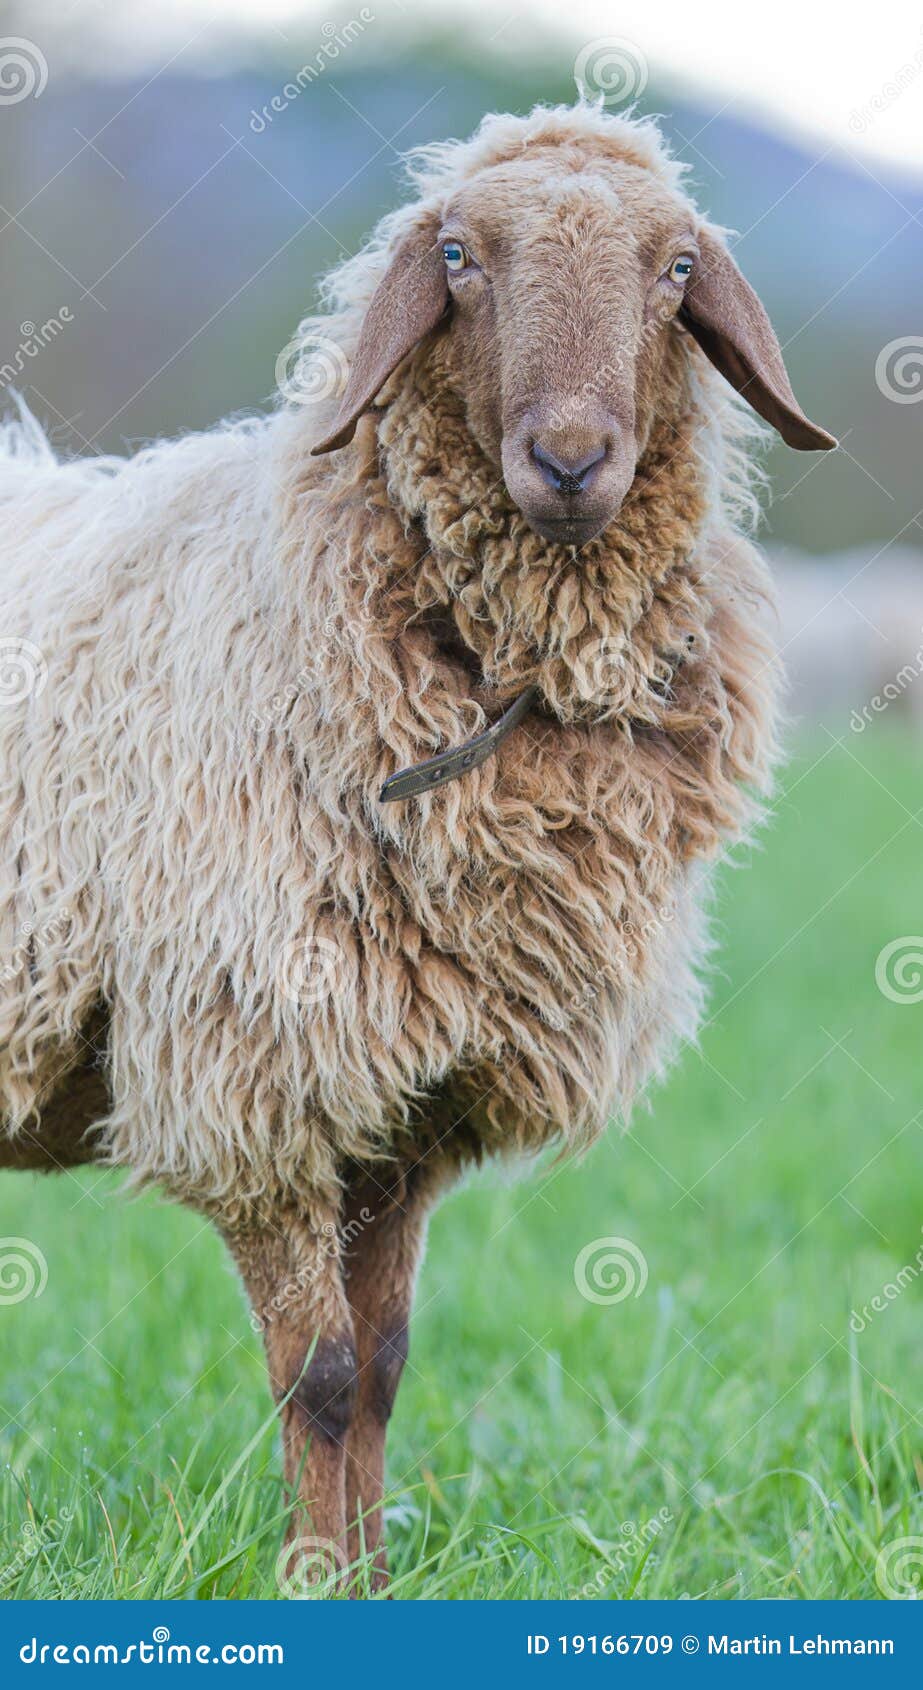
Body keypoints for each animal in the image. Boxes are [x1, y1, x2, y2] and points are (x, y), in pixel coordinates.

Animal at [0, 99, 835, 1589]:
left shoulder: (407, 1104)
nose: (568, 461)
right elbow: (320, 1373)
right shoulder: (256, 1077)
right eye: (457, 255)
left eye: (676, 269)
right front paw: (315, 1581)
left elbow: (384, 1365)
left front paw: (376, 1577)